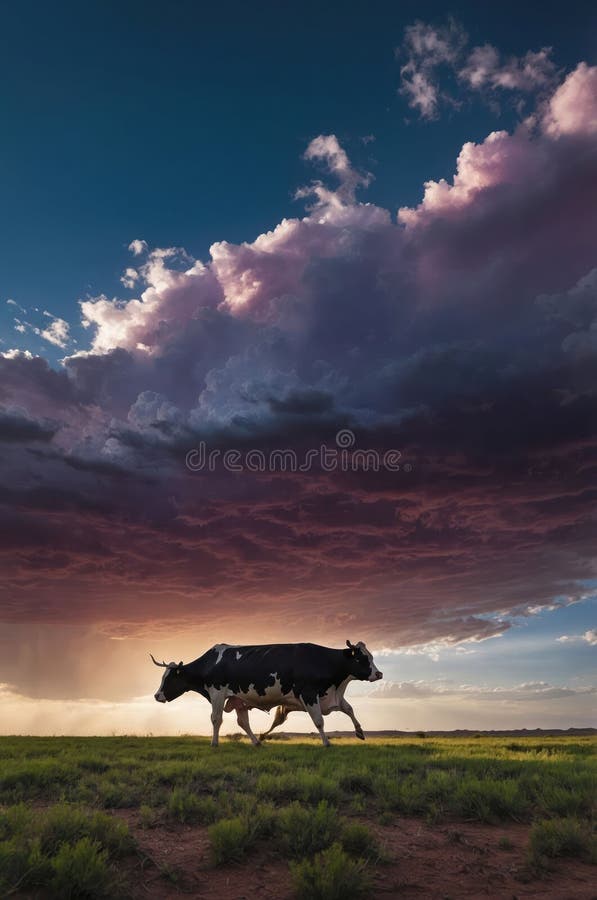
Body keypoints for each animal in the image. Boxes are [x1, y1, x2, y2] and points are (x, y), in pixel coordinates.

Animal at [151, 639, 382, 747]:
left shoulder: (329, 694)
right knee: (222, 720)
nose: (379, 673)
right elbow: (319, 721)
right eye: (362, 658)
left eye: (168, 678)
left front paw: (360, 732)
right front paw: (326, 743)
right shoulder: (309, 693)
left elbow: (348, 709)